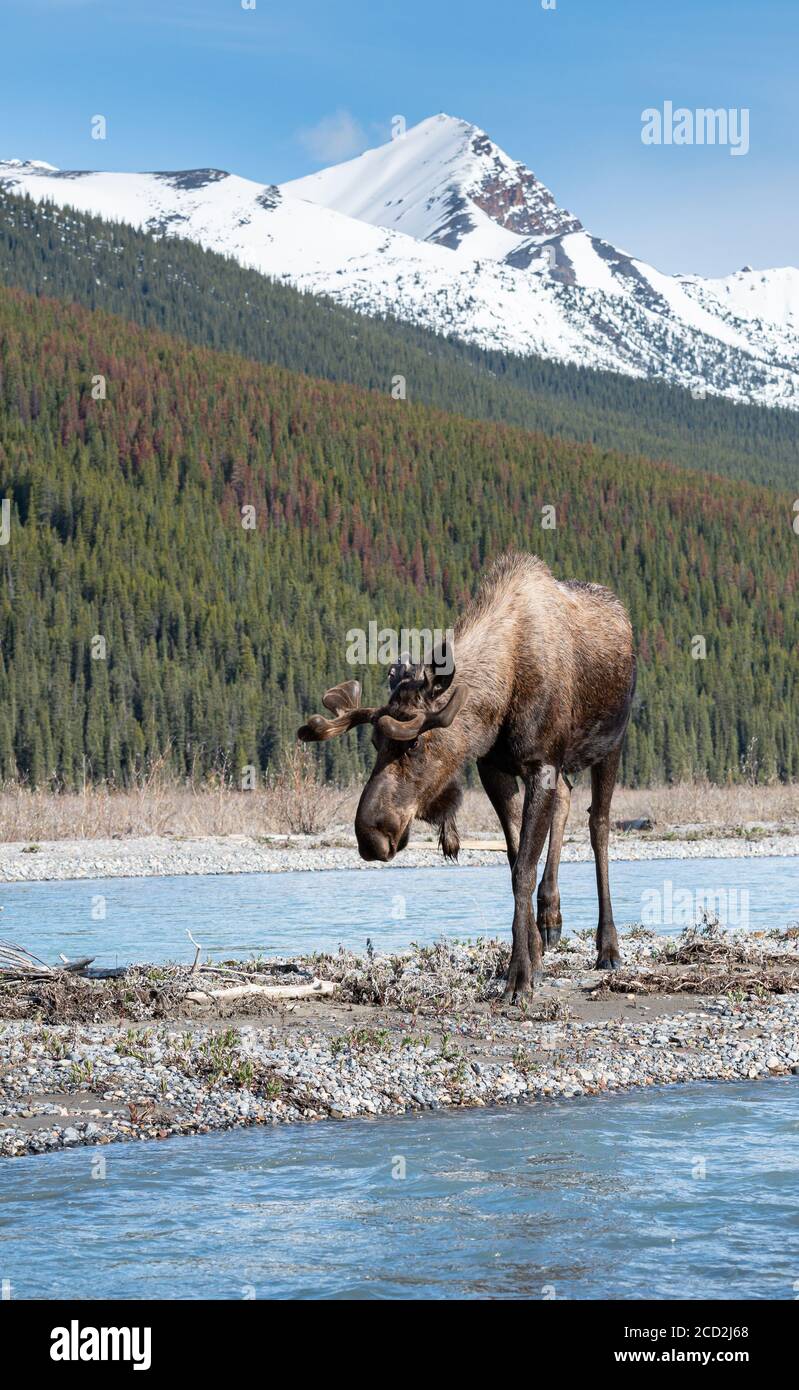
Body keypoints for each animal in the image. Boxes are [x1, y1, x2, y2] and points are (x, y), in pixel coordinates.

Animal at [298, 553, 636, 1001]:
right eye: (373, 742)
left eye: (413, 743)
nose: (371, 835)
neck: (502, 693)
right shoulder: (494, 767)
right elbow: (515, 862)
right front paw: (534, 956)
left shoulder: (541, 764)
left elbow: (523, 870)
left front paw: (519, 976)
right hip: (565, 765)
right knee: (566, 800)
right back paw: (551, 916)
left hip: (611, 743)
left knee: (599, 826)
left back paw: (608, 947)